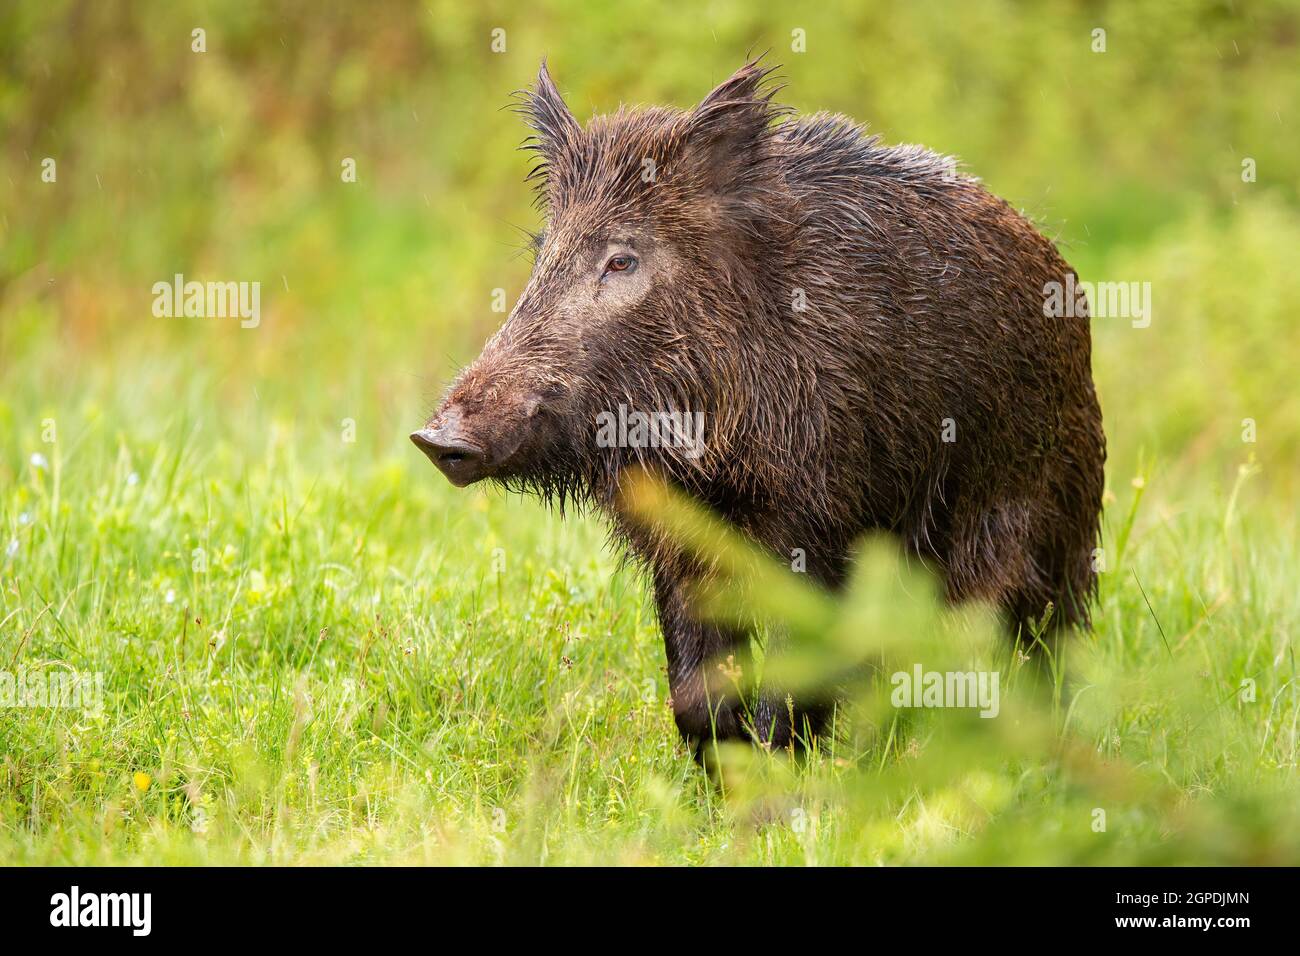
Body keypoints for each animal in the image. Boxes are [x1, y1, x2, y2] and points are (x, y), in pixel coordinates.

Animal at [411, 59, 1106, 757]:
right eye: (541, 254)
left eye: (622, 259)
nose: (437, 438)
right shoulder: (679, 540)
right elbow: (697, 695)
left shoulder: (821, 522)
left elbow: (796, 680)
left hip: (1044, 518)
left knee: (1033, 645)